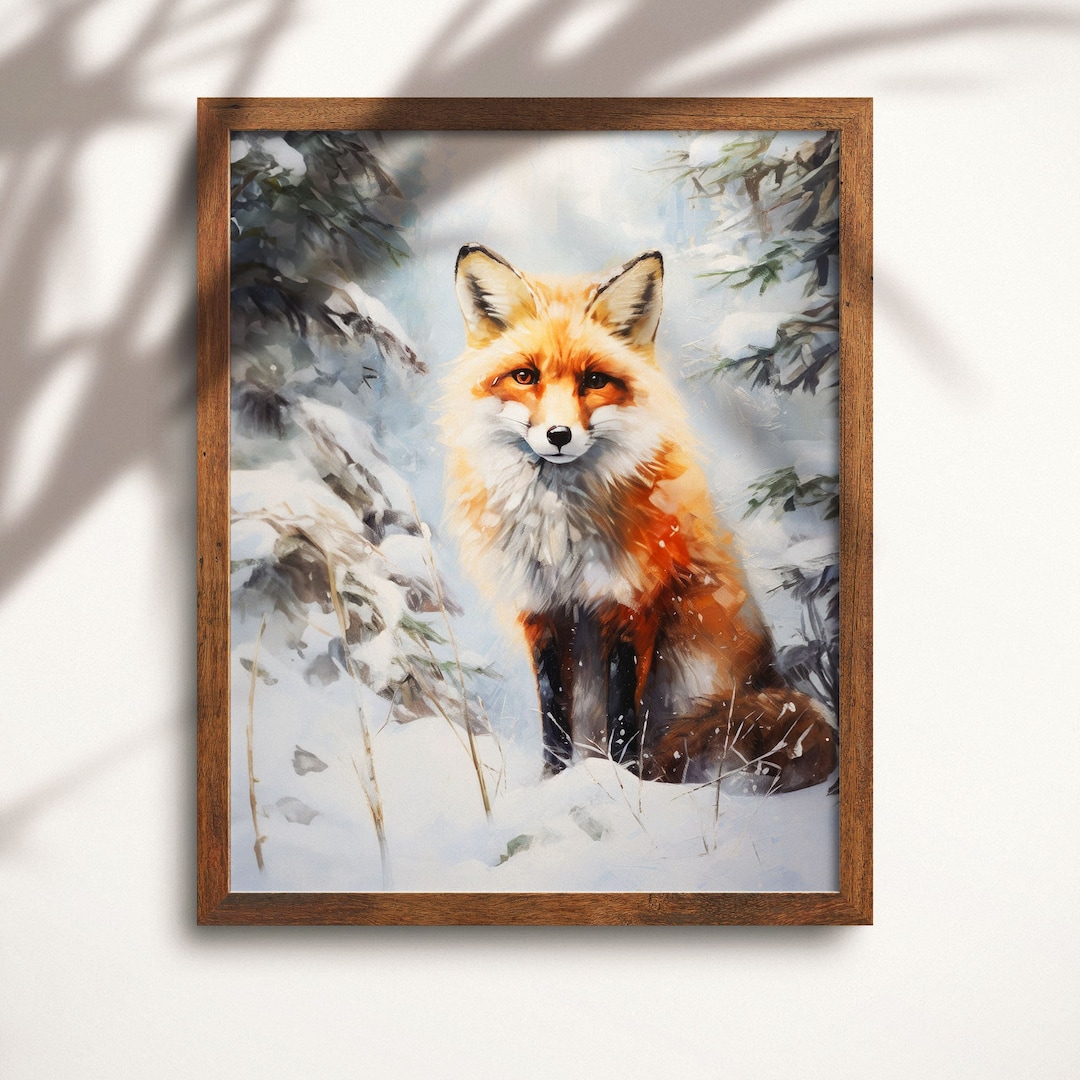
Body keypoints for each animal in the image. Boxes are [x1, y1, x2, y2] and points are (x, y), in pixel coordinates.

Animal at [441, 243, 837, 793]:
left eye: (594, 381)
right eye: (525, 376)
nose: (559, 435)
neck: (562, 532)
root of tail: (770, 678)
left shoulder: (632, 603)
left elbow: (625, 718)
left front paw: (625, 784)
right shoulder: (542, 612)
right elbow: (554, 716)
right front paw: (552, 783)